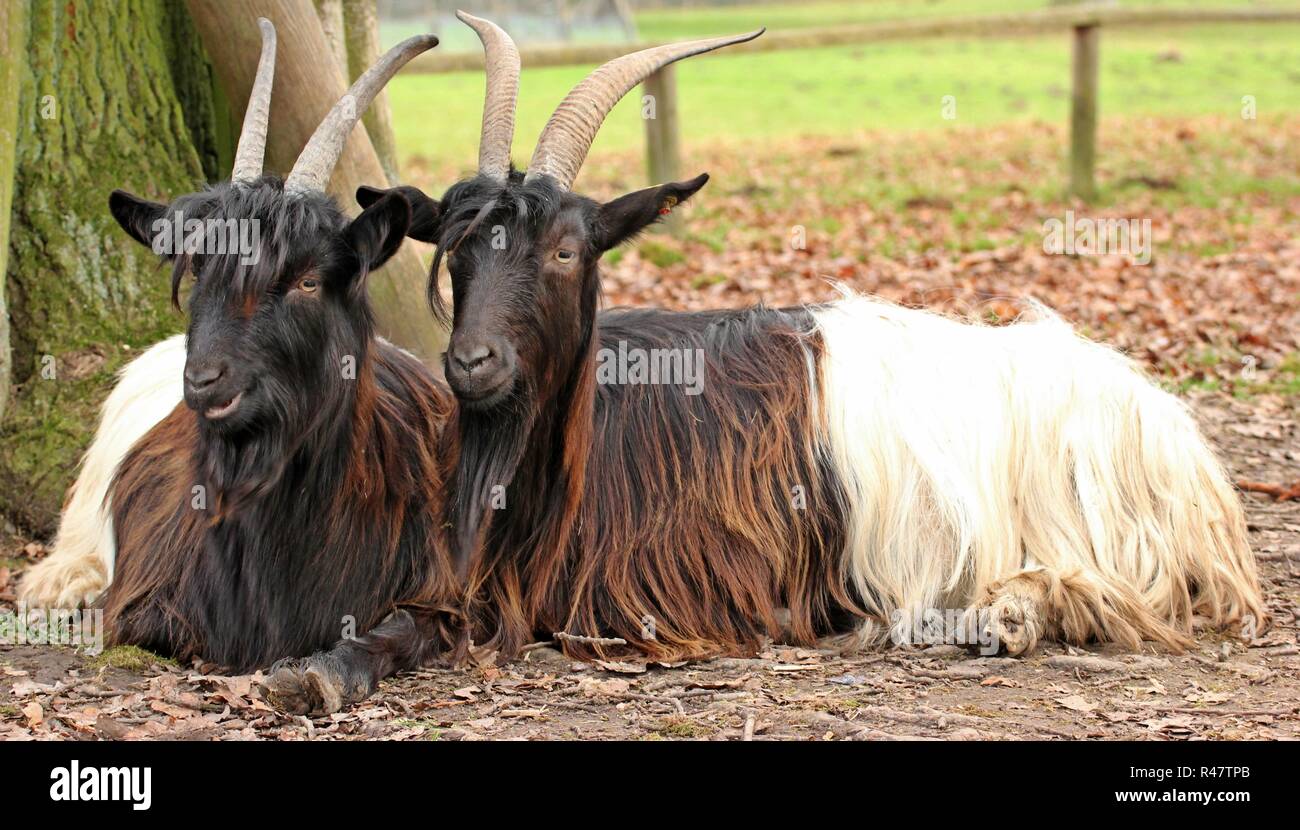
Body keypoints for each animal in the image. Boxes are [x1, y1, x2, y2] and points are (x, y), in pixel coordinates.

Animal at [362, 16, 1266, 662]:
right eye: (459, 248)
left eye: (566, 250)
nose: (472, 362)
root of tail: (1180, 435)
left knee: (1128, 596)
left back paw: (1007, 614)